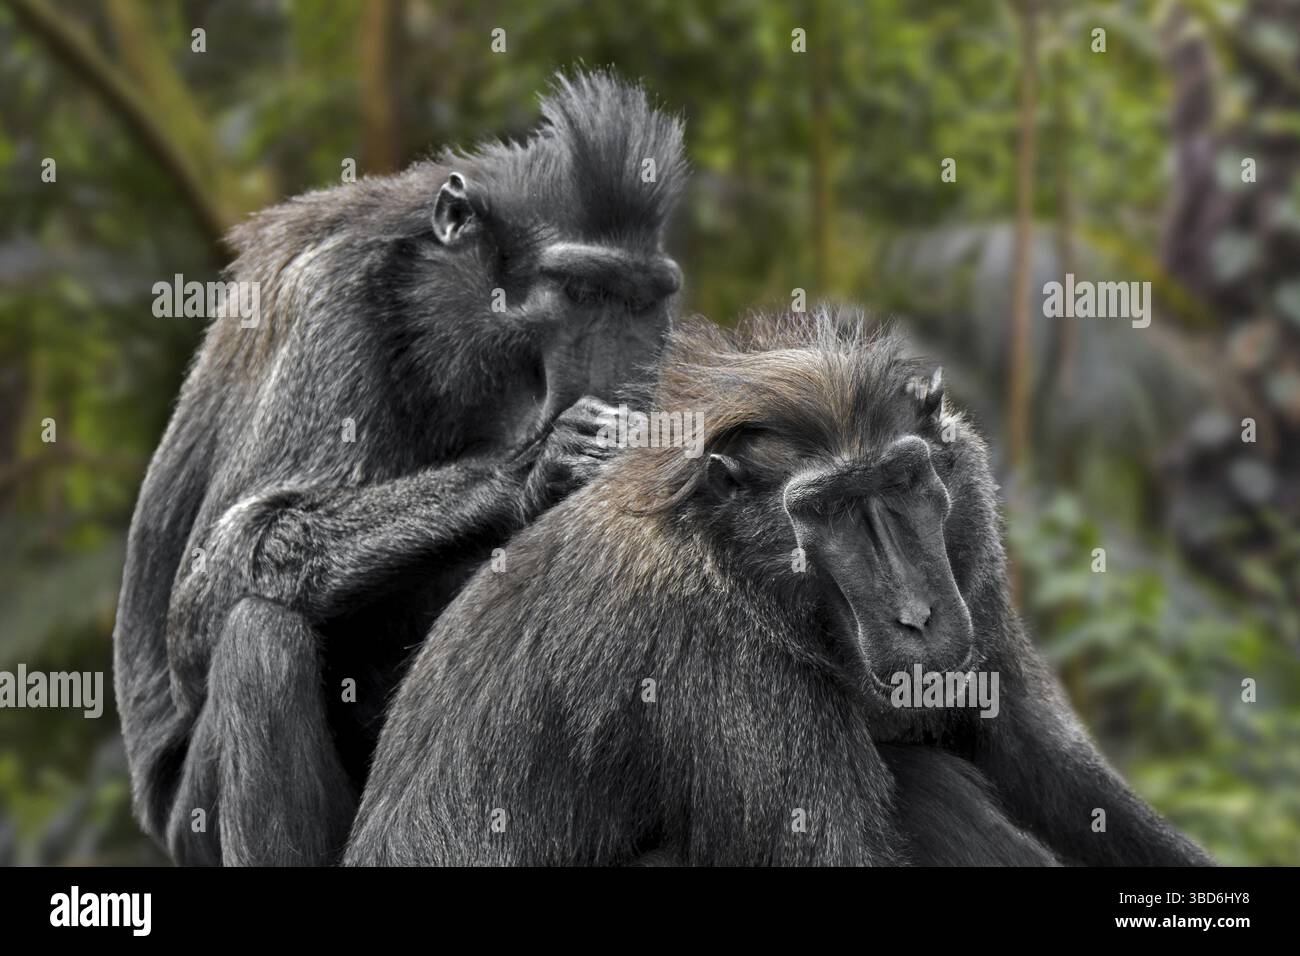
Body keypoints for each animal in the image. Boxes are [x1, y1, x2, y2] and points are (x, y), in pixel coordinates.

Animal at [113, 71, 688, 866]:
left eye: (641, 302)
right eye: (581, 292)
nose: (631, 378)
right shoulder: (334, 308)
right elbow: (201, 598)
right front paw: (531, 471)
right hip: (191, 823)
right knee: (259, 636)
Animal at [344, 309, 1213, 866]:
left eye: (903, 481)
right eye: (823, 510)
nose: (918, 617)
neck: (735, 552)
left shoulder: (976, 558)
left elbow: (1046, 765)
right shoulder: (723, 666)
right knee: (925, 786)